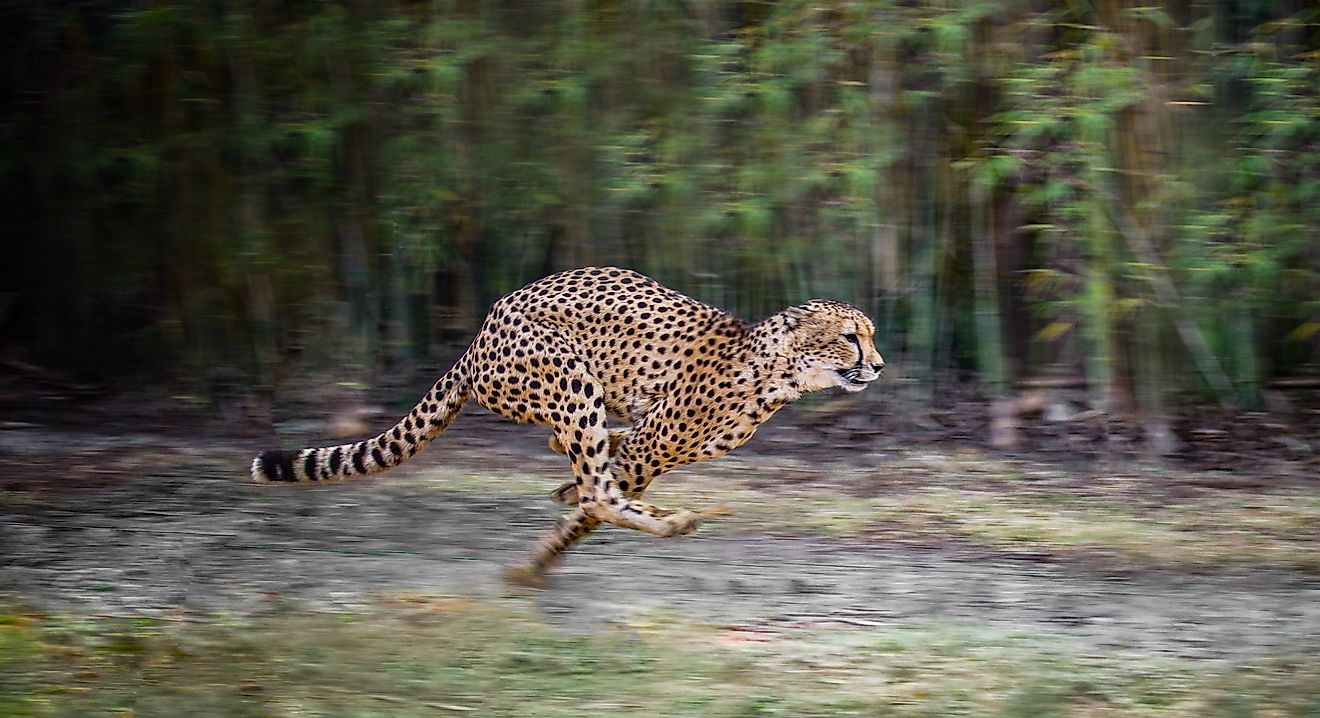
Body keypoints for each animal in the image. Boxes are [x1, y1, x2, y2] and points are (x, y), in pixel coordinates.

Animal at [252, 267, 885, 586]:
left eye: (870, 335)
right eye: (851, 336)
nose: (878, 365)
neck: (779, 371)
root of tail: (483, 327)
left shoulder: (650, 448)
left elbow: (594, 484)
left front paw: (546, 542)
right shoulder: (649, 446)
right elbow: (594, 500)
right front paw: (540, 557)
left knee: (583, 460)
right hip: (570, 379)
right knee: (597, 486)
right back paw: (668, 520)